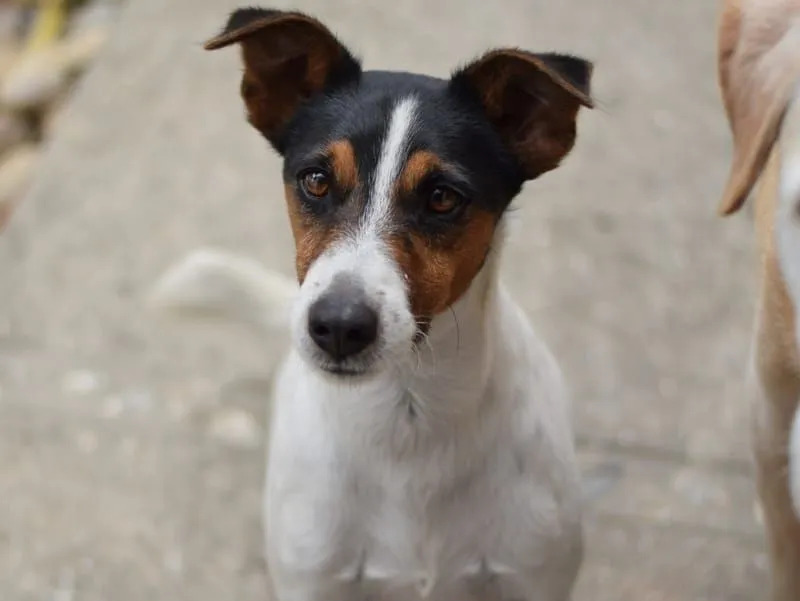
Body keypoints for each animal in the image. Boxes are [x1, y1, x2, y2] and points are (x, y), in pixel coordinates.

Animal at [152, 7, 592, 596]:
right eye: (315, 181)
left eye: (442, 197)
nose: (338, 326)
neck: (406, 416)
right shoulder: (312, 578)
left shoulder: (535, 573)